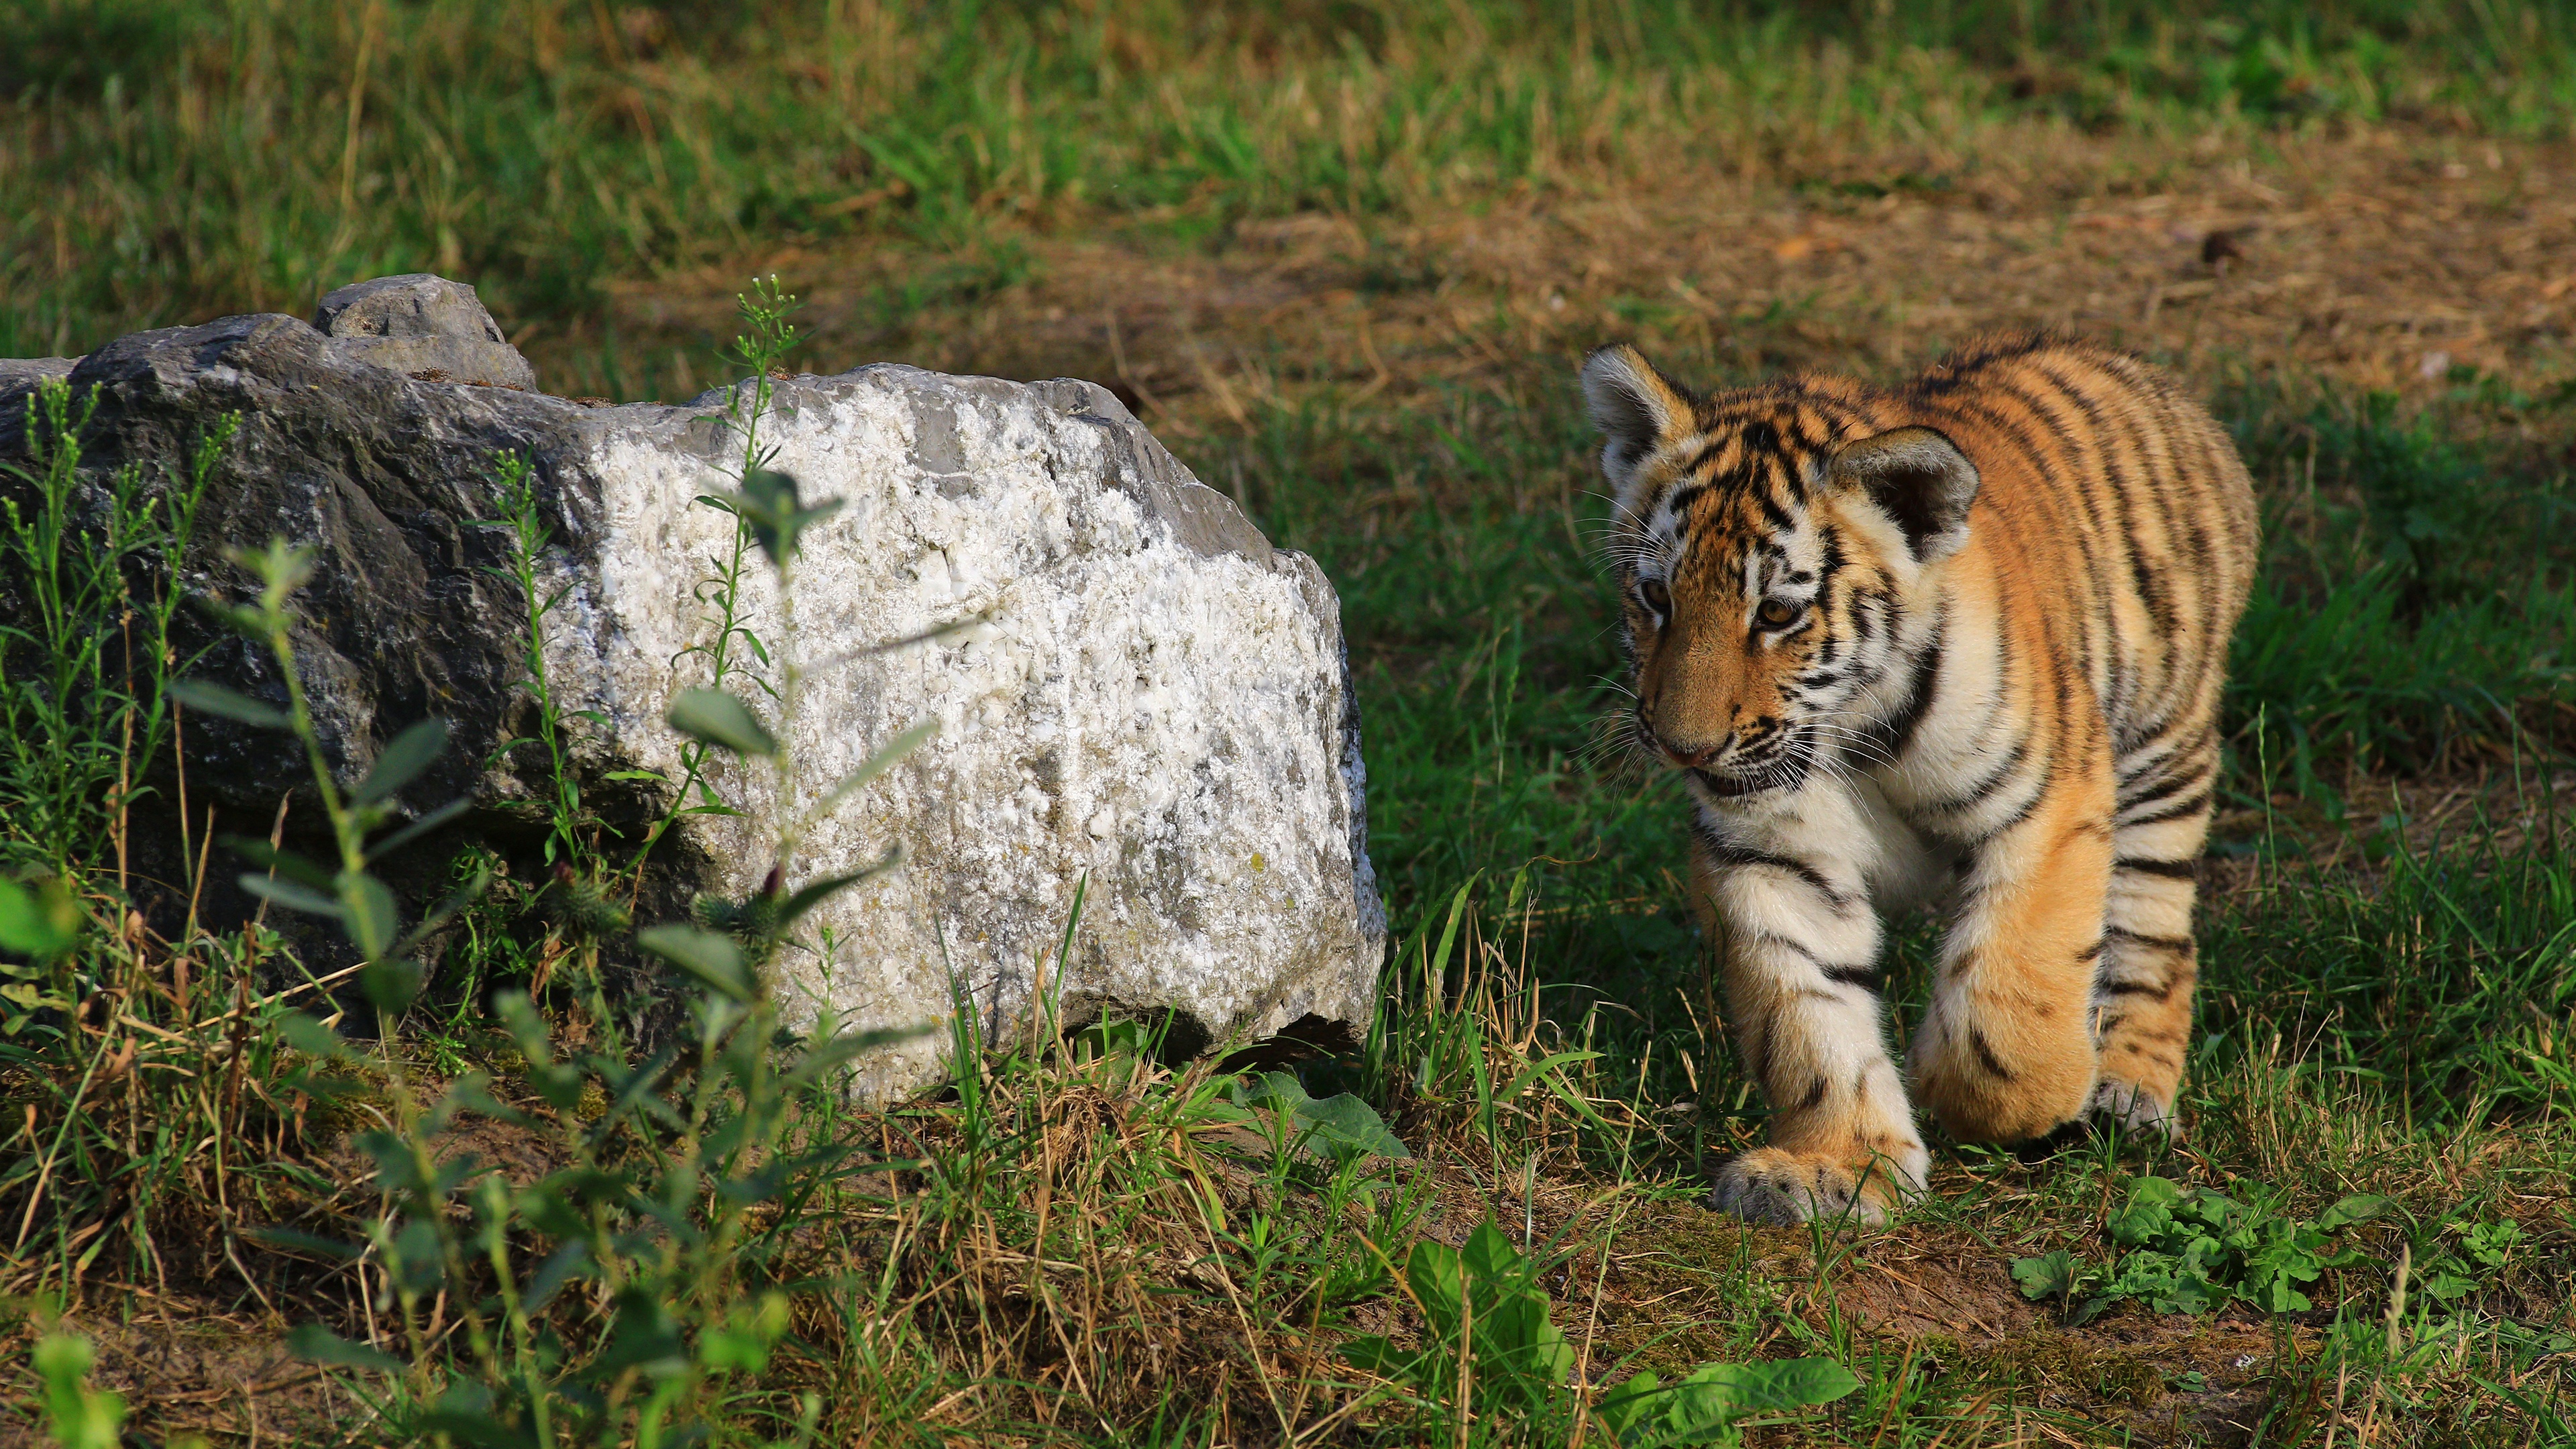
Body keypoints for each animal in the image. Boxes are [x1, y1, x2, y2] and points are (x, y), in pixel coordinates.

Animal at [1582, 332, 2258, 1225]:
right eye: (1656, 596)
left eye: (1777, 615)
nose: (1684, 748)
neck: (1854, 728)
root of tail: (2132, 369)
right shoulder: (1774, 855)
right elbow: (1806, 1016)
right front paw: (1836, 1168)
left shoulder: (2050, 801)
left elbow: (2012, 996)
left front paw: (1990, 1096)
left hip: (2163, 750)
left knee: (2156, 936)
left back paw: (2124, 1091)